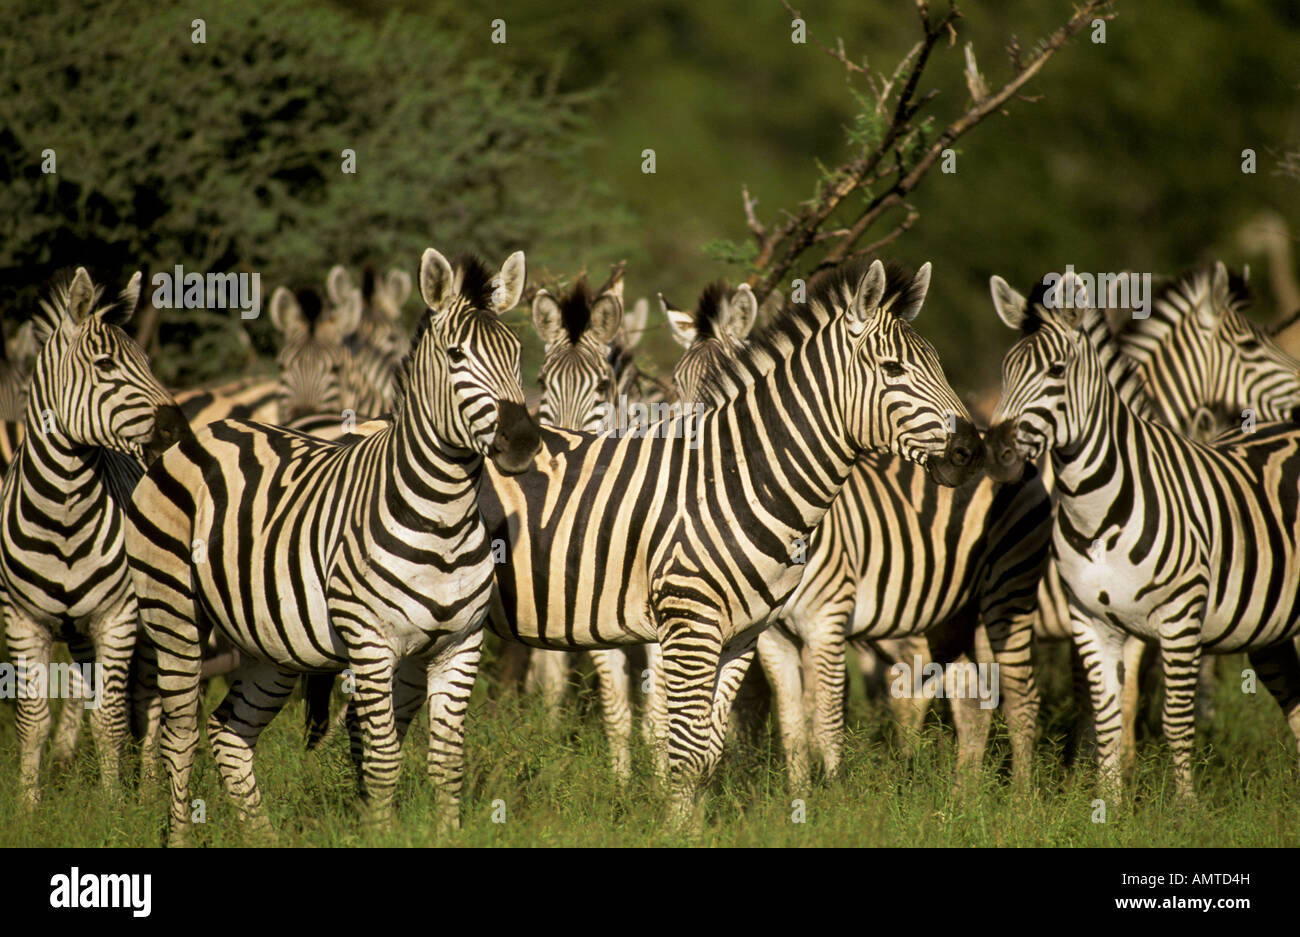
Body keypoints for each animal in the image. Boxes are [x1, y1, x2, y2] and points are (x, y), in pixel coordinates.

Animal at [0, 267, 189, 807]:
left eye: (148, 362)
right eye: (105, 364)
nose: (179, 429)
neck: (62, 509)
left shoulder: (117, 617)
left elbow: (110, 719)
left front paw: (114, 807)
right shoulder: (22, 620)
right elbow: (32, 722)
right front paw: (28, 806)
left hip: (153, 612)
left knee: (149, 702)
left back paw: (150, 789)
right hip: (80, 633)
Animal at [125, 247, 541, 844]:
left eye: (517, 354)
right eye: (457, 355)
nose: (524, 442)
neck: (443, 517)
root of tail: (204, 434)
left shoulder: (460, 646)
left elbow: (447, 762)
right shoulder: (371, 644)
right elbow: (383, 760)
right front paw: (381, 833)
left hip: (269, 642)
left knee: (229, 733)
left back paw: (264, 837)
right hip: (173, 611)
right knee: (180, 735)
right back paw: (180, 835)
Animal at [479, 258, 983, 820]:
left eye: (937, 364)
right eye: (893, 369)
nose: (970, 451)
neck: (733, 480)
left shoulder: (745, 632)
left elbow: (710, 748)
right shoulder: (689, 623)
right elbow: (680, 741)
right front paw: (669, 819)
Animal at [665, 279, 1049, 791]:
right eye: (676, 383)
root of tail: (1002, 447)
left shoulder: (827, 617)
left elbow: (825, 720)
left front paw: (832, 796)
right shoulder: (771, 634)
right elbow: (793, 723)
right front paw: (799, 796)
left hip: (1009, 588)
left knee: (1023, 700)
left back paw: (1022, 799)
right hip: (956, 611)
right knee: (972, 704)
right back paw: (963, 799)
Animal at [985, 271, 1300, 800]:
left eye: (1055, 370)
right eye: (1004, 372)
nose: (996, 456)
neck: (1097, 507)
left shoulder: (1176, 617)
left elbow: (1164, 716)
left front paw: (1176, 805)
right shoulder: (1092, 619)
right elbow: (1112, 714)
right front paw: (1107, 796)